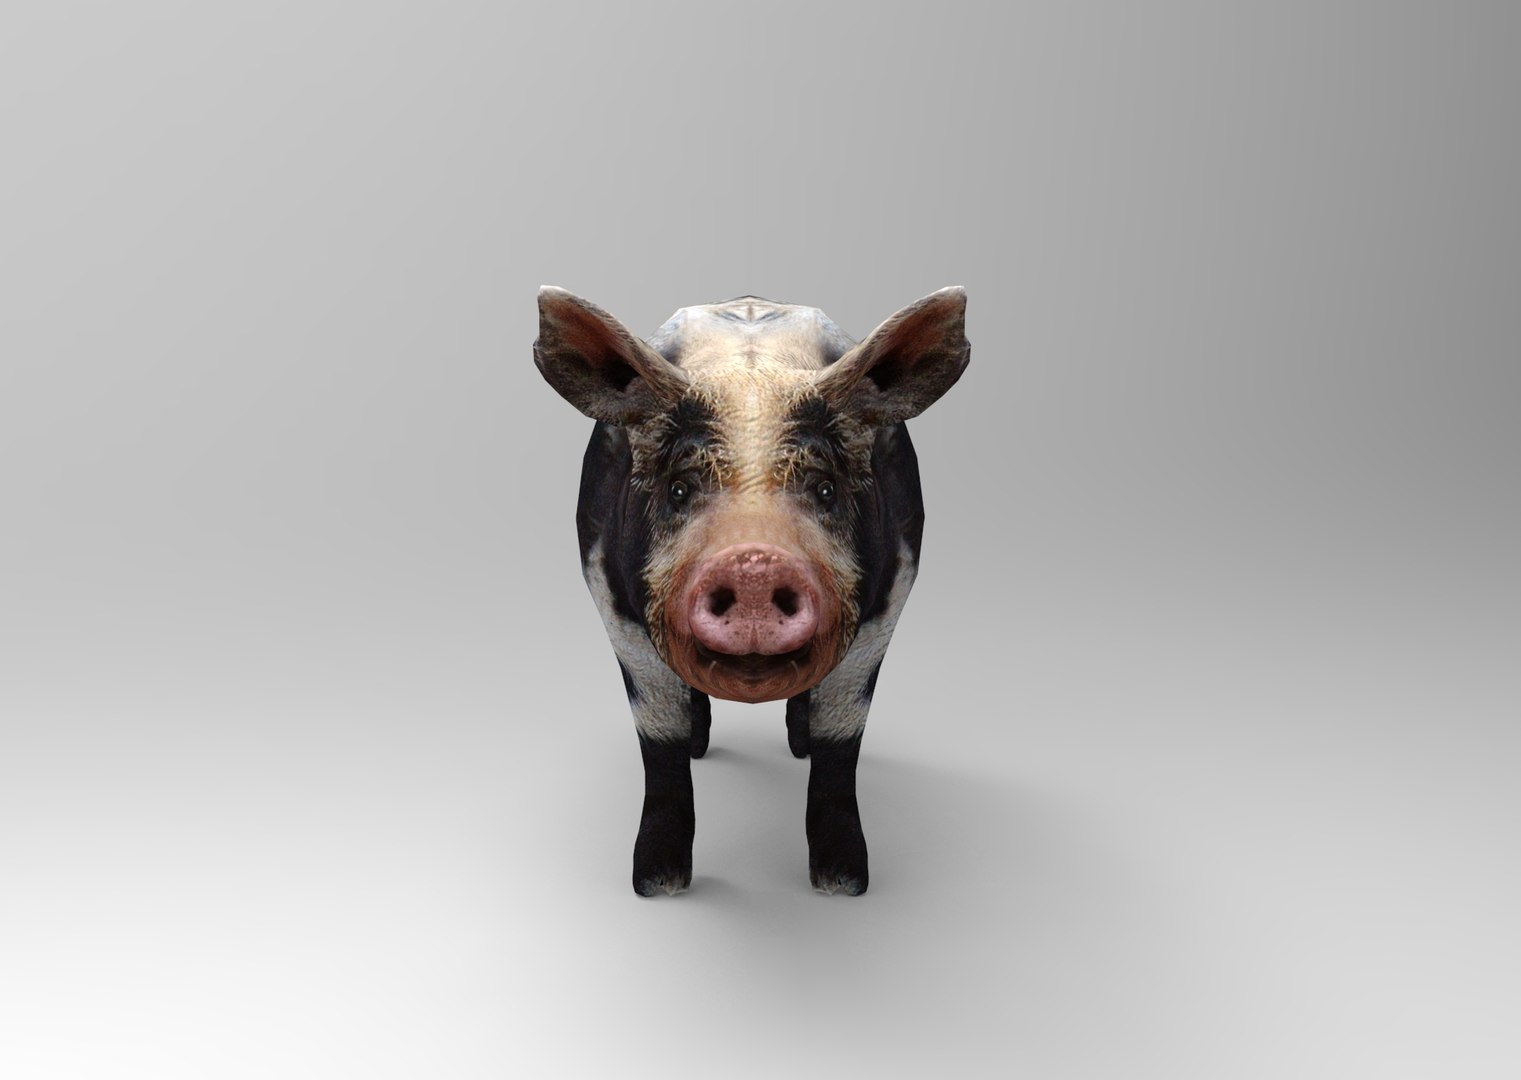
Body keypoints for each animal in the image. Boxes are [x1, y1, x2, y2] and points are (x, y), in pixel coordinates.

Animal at [534, 286, 968, 896]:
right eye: (679, 487)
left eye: (826, 488)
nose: (755, 565)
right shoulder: (611, 601)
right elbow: (659, 739)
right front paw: (659, 885)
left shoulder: (889, 604)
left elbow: (841, 741)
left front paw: (842, 884)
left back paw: (796, 747)